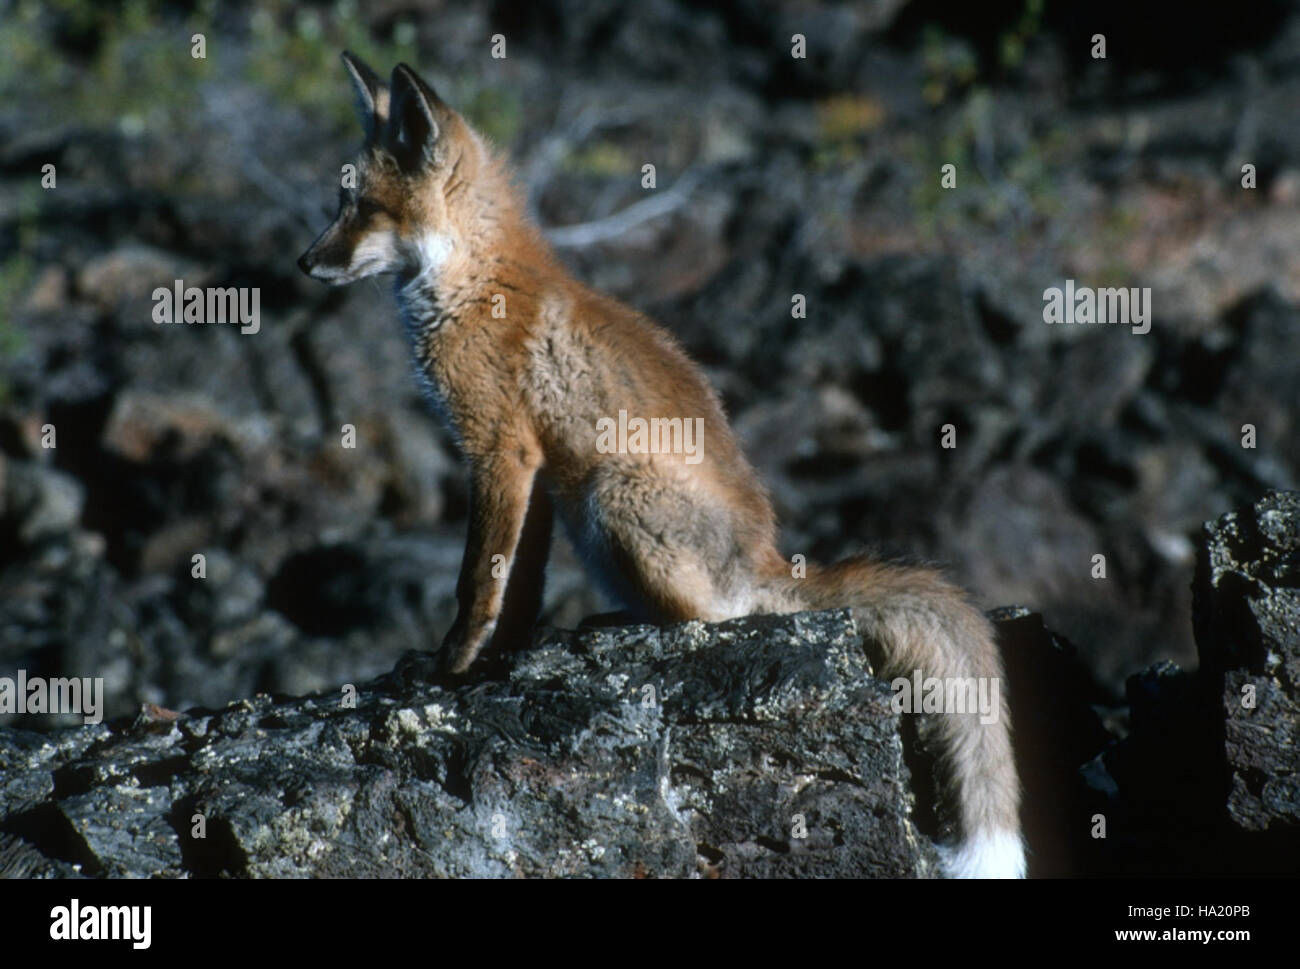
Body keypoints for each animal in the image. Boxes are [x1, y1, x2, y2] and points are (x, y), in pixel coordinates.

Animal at [298, 52, 1026, 879]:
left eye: (367, 208)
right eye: (342, 202)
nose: (305, 262)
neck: (473, 280)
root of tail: (766, 559)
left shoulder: (498, 449)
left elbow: (477, 581)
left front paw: (447, 668)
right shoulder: (536, 472)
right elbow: (519, 588)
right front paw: (500, 659)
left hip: (610, 495)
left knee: (719, 620)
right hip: (585, 508)